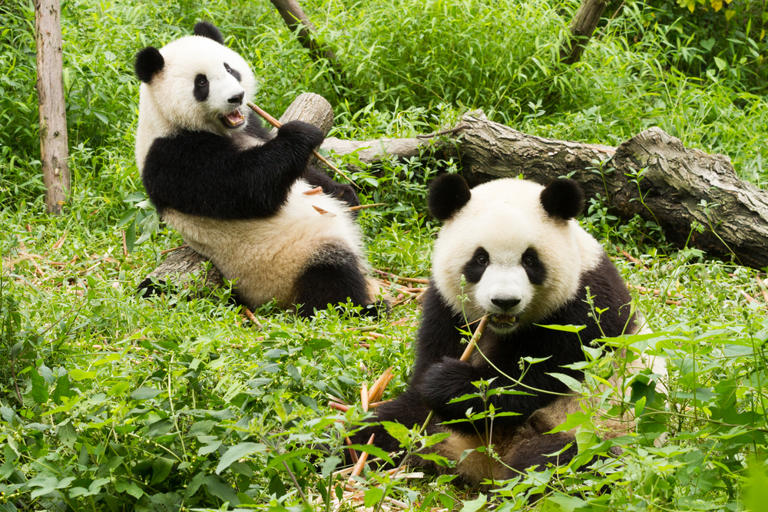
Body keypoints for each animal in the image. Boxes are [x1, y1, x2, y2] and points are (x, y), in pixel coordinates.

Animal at [134, 22, 378, 316]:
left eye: (229, 68)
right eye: (201, 82)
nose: (236, 97)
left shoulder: (249, 127)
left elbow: (300, 172)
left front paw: (344, 193)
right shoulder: (172, 157)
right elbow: (251, 187)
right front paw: (300, 133)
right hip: (289, 261)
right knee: (331, 278)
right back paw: (364, 308)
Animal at [348, 174, 665, 484]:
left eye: (530, 260)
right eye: (480, 259)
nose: (504, 301)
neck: (503, 329)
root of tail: (481, 461)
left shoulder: (584, 308)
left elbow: (534, 380)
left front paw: (450, 383)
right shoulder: (447, 308)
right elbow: (429, 369)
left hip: (595, 432)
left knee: (565, 464)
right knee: (389, 425)